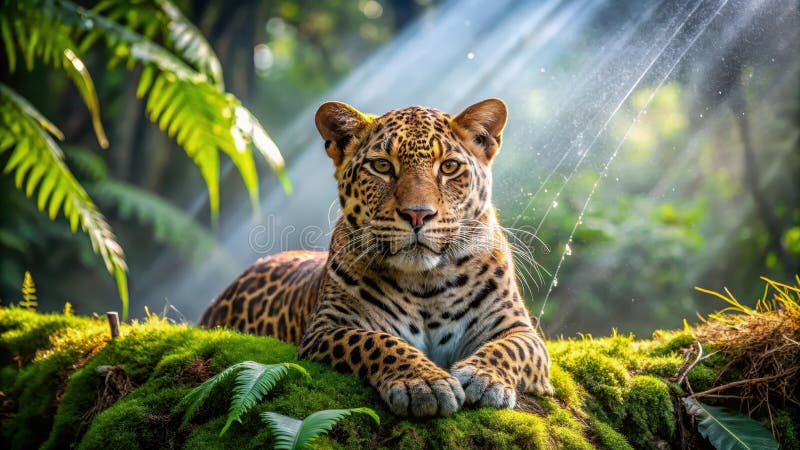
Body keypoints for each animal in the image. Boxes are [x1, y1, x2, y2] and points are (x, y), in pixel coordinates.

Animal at [200, 98, 554, 417]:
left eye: (449, 167)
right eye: (382, 166)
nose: (417, 214)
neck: (426, 283)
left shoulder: (517, 327)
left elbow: (511, 348)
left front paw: (483, 377)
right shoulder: (326, 329)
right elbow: (376, 341)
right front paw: (423, 382)